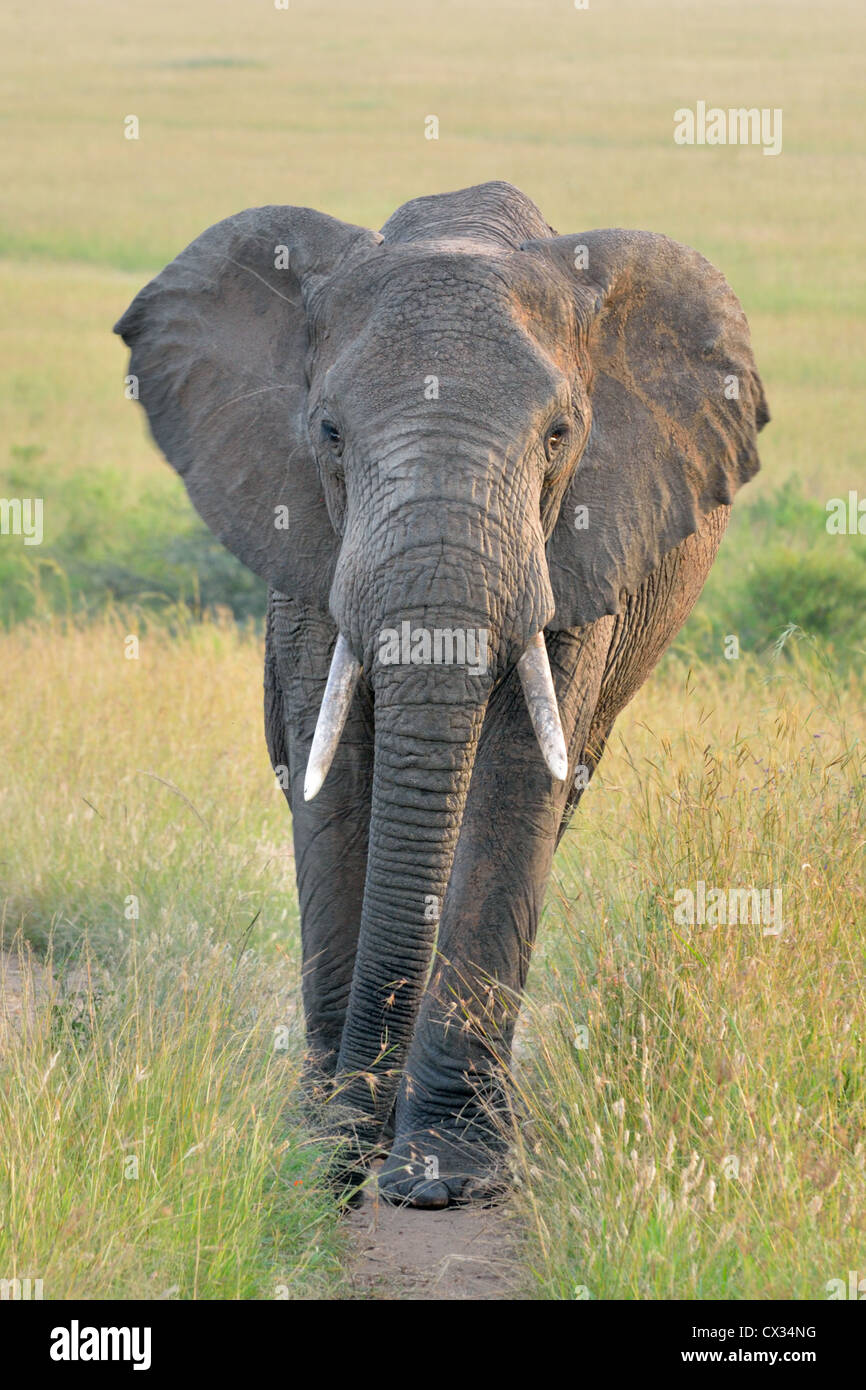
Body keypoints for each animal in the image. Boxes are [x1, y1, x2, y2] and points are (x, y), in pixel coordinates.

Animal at [115, 180, 768, 1208]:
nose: (359, 1146)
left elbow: (513, 787)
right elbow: (335, 777)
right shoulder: (310, 546)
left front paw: (441, 1176)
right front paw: (327, 1152)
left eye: (558, 437)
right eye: (329, 434)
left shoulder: (578, 545)